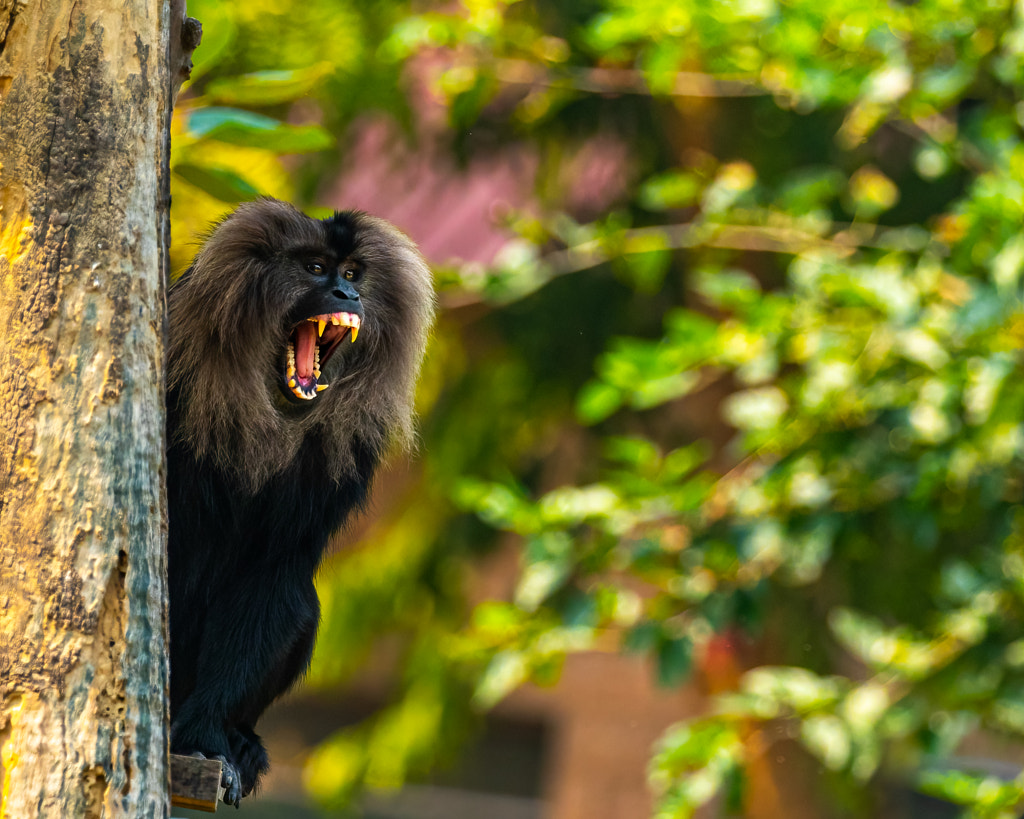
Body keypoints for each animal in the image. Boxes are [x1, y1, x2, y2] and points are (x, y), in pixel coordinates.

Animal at [165, 198, 434, 805]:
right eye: (314, 269)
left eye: (353, 273)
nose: (348, 295)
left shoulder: (347, 449)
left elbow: (274, 578)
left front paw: (209, 741)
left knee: (299, 601)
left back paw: (242, 740)